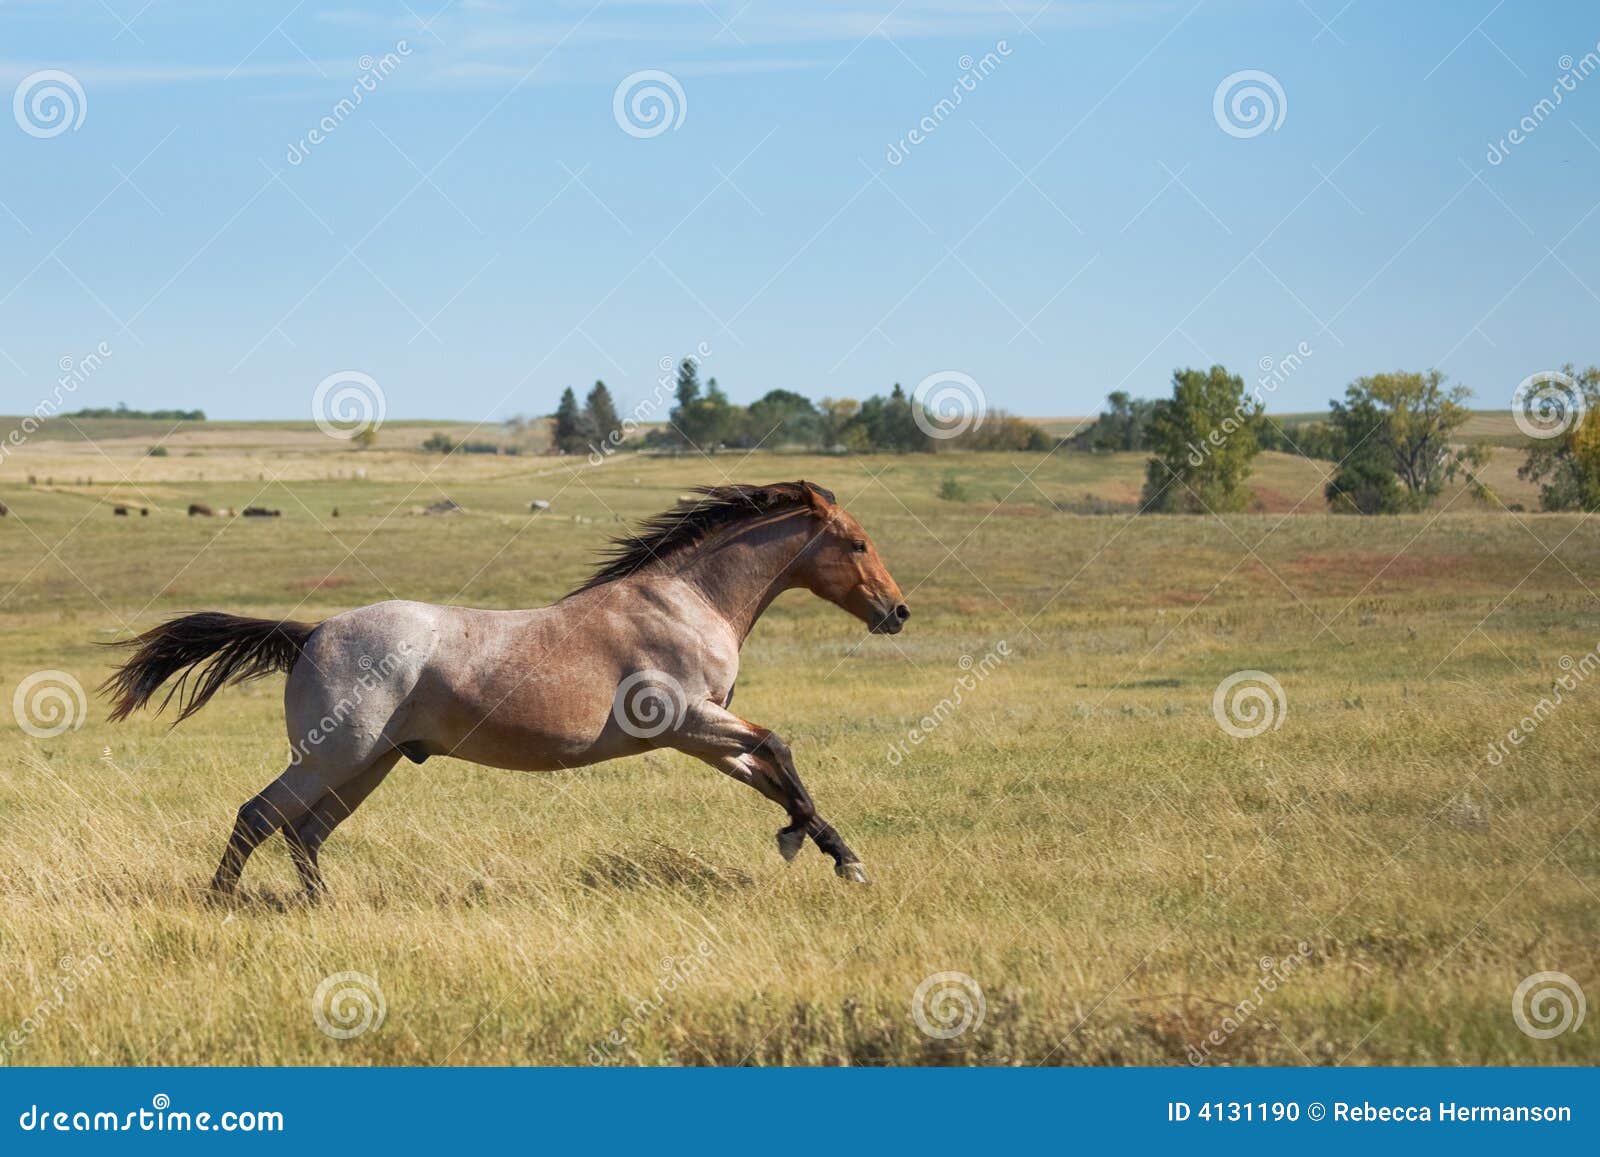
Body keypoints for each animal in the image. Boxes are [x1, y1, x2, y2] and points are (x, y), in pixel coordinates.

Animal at [101, 481, 910, 900]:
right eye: (858, 543)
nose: (897, 611)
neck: (684, 601)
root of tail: (309, 633)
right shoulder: (688, 719)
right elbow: (780, 749)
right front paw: (809, 847)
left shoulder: (703, 735)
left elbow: (773, 775)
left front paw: (837, 853)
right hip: (335, 756)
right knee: (259, 815)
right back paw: (221, 904)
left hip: (369, 765)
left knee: (305, 832)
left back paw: (318, 909)